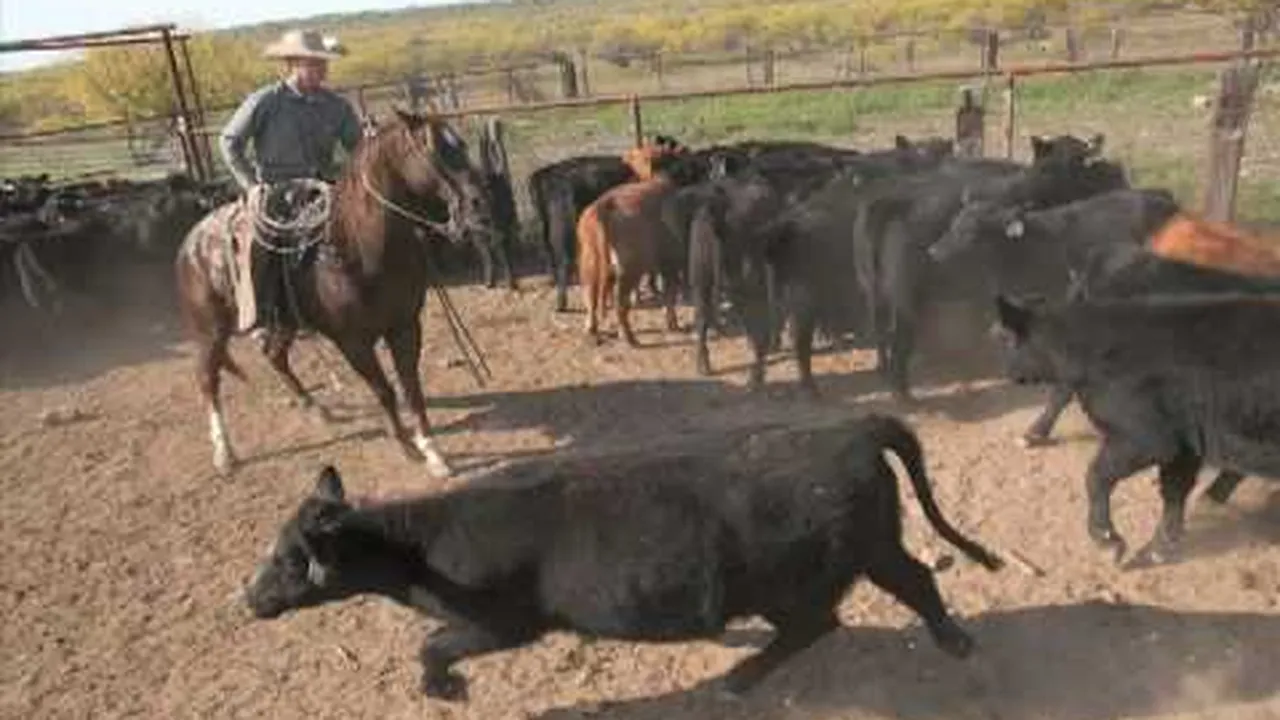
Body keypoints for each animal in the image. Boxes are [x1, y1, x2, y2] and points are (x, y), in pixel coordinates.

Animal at [243, 414, 1004, 703]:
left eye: (287, 558)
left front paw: (444, 689)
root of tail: (851, 426)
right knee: (903, 582)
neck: (422, 546)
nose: (248, 598)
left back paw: (742, 679)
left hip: (806, 576)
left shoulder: (502, 624)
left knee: (826, 621)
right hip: (871, 547)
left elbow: (432, 644)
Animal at [993, 292, 1280, 568]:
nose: (1007, 373)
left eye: (1007, 339)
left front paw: (1108, 543)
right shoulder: (1185, 447)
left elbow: (1096, 475)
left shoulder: (1147, 439)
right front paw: (1157, 550)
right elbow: (1174, 493)